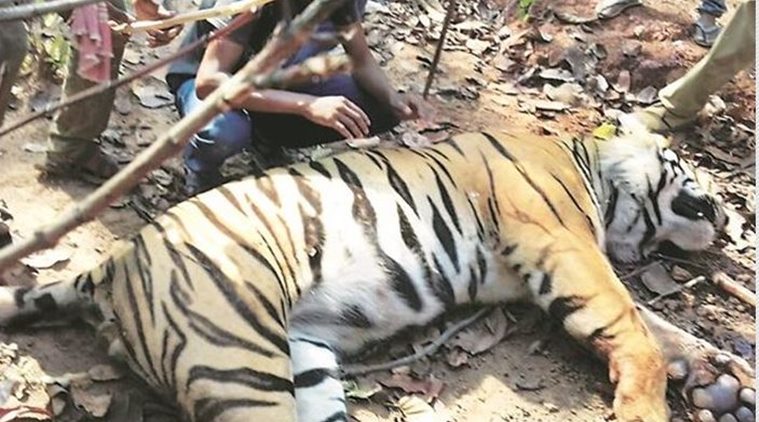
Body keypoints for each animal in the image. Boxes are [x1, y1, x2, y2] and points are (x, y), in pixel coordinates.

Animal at [0, 128, 754, 422]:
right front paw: (647, 405)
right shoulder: (559, 240)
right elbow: (630, 322)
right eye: (695, 173)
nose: (728, 219)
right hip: (237, 359)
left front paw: (719, 372)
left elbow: (656, 323)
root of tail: (113, 262)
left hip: (299, 362)